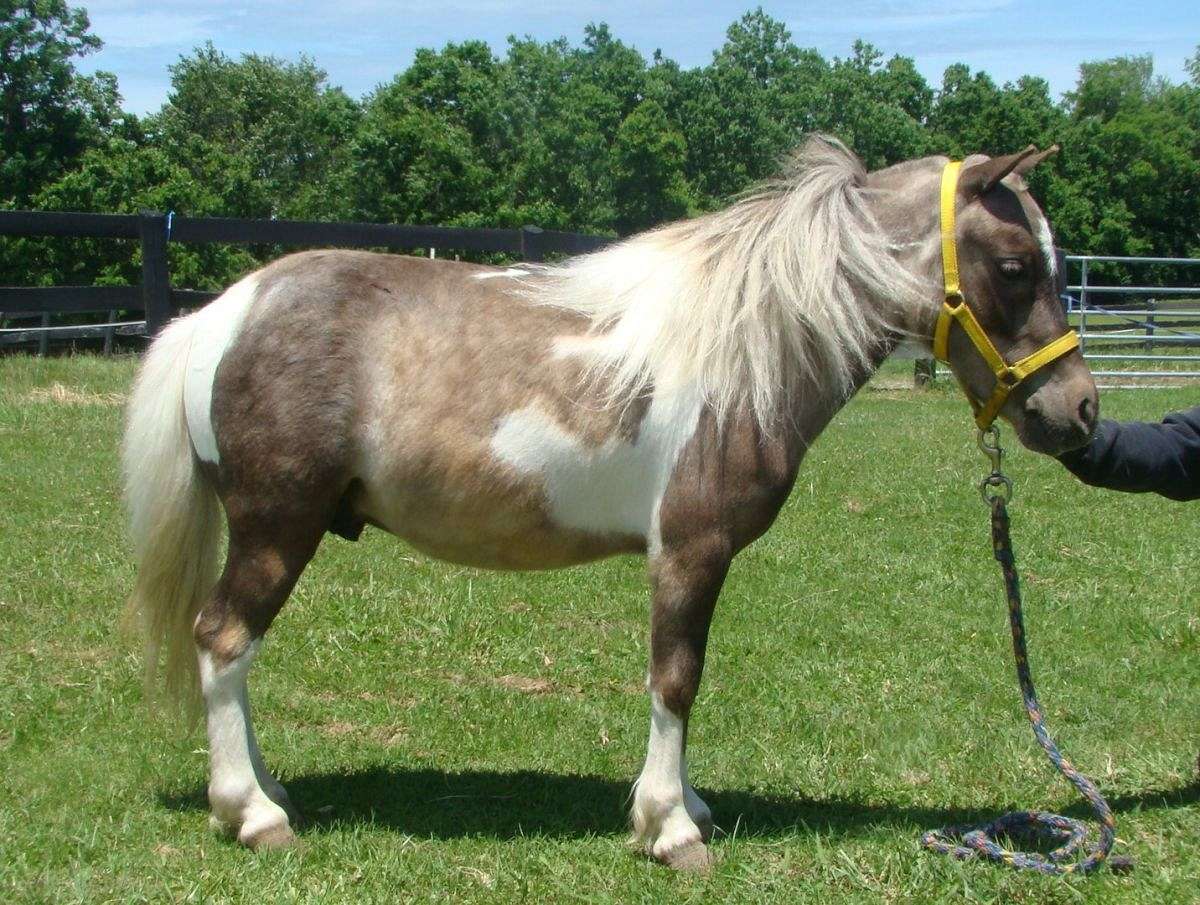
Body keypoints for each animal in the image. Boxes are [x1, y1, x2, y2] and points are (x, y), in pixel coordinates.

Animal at [121, 136, 1097, 870]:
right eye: (1017, 265)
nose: (1078, 411)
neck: (746, 347)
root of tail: (221, 314)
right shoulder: (690, 550)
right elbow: (676, 678)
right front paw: (670, 827)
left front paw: (688, 803)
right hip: (275, 528)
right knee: (224, 639)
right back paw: (252, 812)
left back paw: (267, 789)